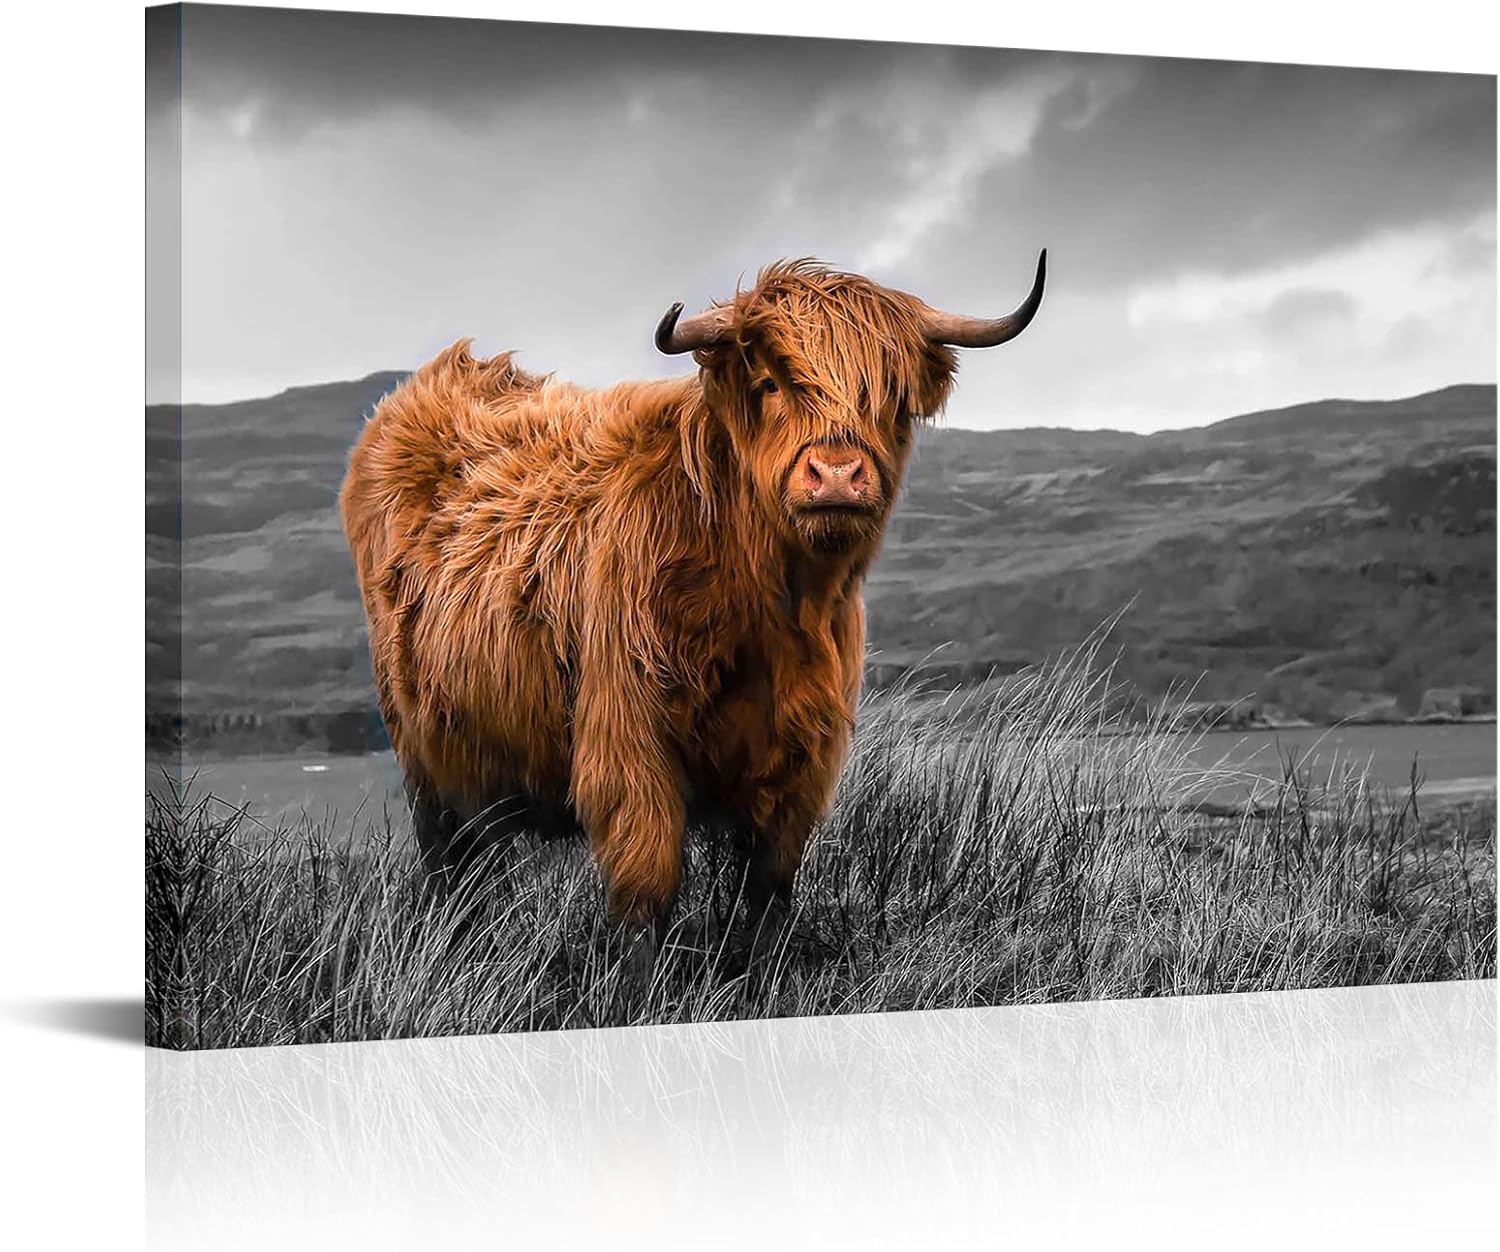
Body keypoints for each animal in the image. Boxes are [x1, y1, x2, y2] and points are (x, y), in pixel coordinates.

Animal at [339, 252, 1046, 948]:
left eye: (890, 396)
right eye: (770, 382)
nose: (838, 475)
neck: (768, 604)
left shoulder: (798, 766)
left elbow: (765, 898)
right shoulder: (630, 744)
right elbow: (645, 893)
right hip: (425, 758)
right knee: (453, 869)